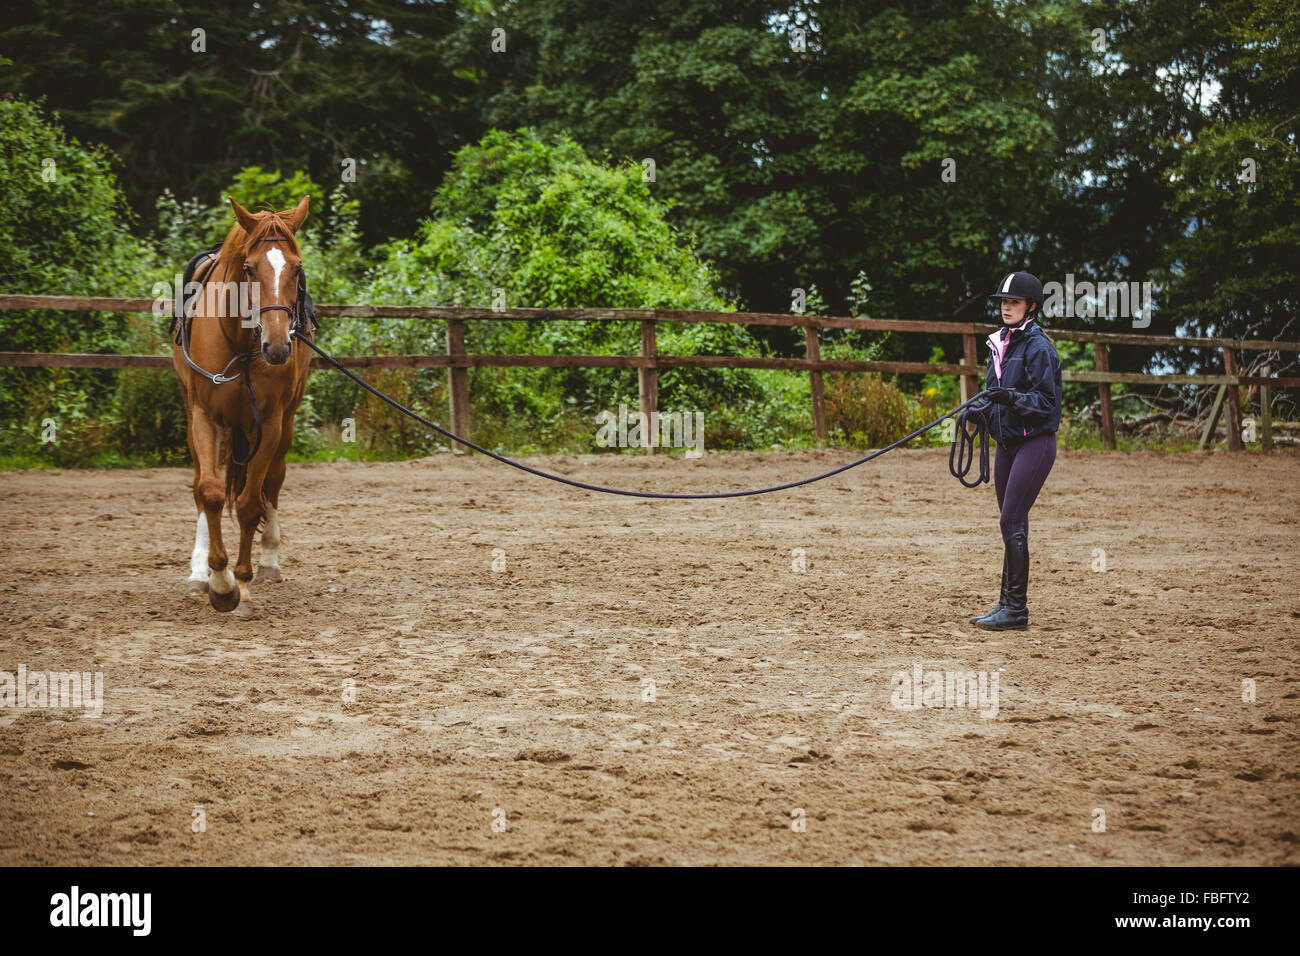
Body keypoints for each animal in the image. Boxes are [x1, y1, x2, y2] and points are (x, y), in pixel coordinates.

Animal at [171, 196, 314, 616]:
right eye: (249, 268)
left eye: (296, 268)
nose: (278, 346)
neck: (239, 343)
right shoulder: (204, 418)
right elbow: (211, 492)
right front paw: (219, 583)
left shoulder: (269, 424)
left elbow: (251, 503)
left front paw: (244, 584)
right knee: (203, 487)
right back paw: (199, 574)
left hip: (285, 425)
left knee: (273, 484)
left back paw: (268, 562)